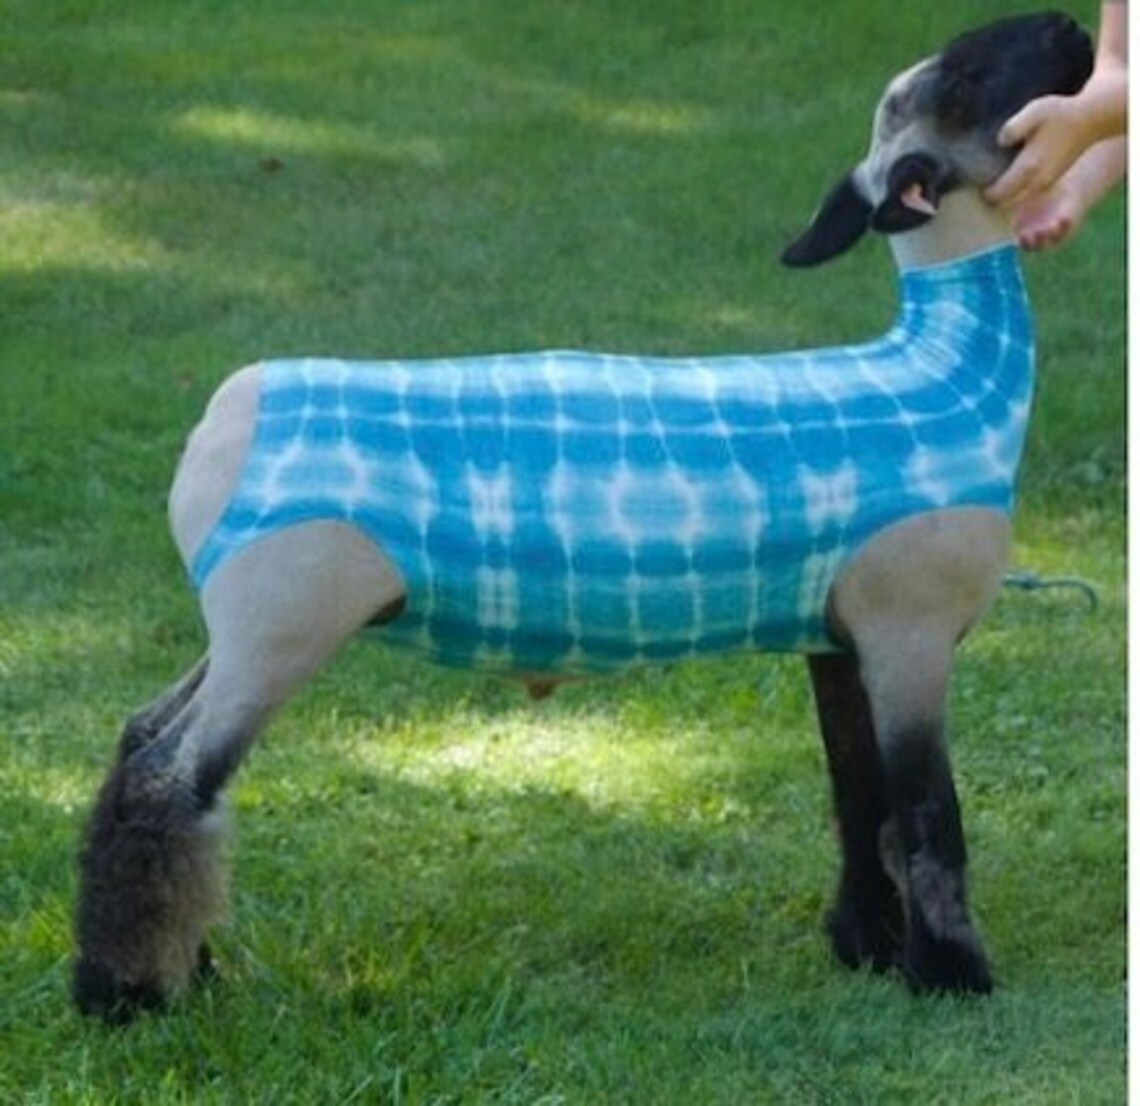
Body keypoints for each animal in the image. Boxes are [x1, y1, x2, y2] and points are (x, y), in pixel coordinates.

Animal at [74, 11, 1095, 1022]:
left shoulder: (838, 635)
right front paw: (954, 975)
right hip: (282, 621)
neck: (948, 366)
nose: (1073, 29)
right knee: (171, 782)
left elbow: (861, 798)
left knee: (143, 739)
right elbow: (926, 811)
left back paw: (185, 965)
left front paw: (870, 951)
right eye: (962, 82)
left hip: (241, 621)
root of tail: (223, 422)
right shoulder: (908, 627)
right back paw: (126, 991)